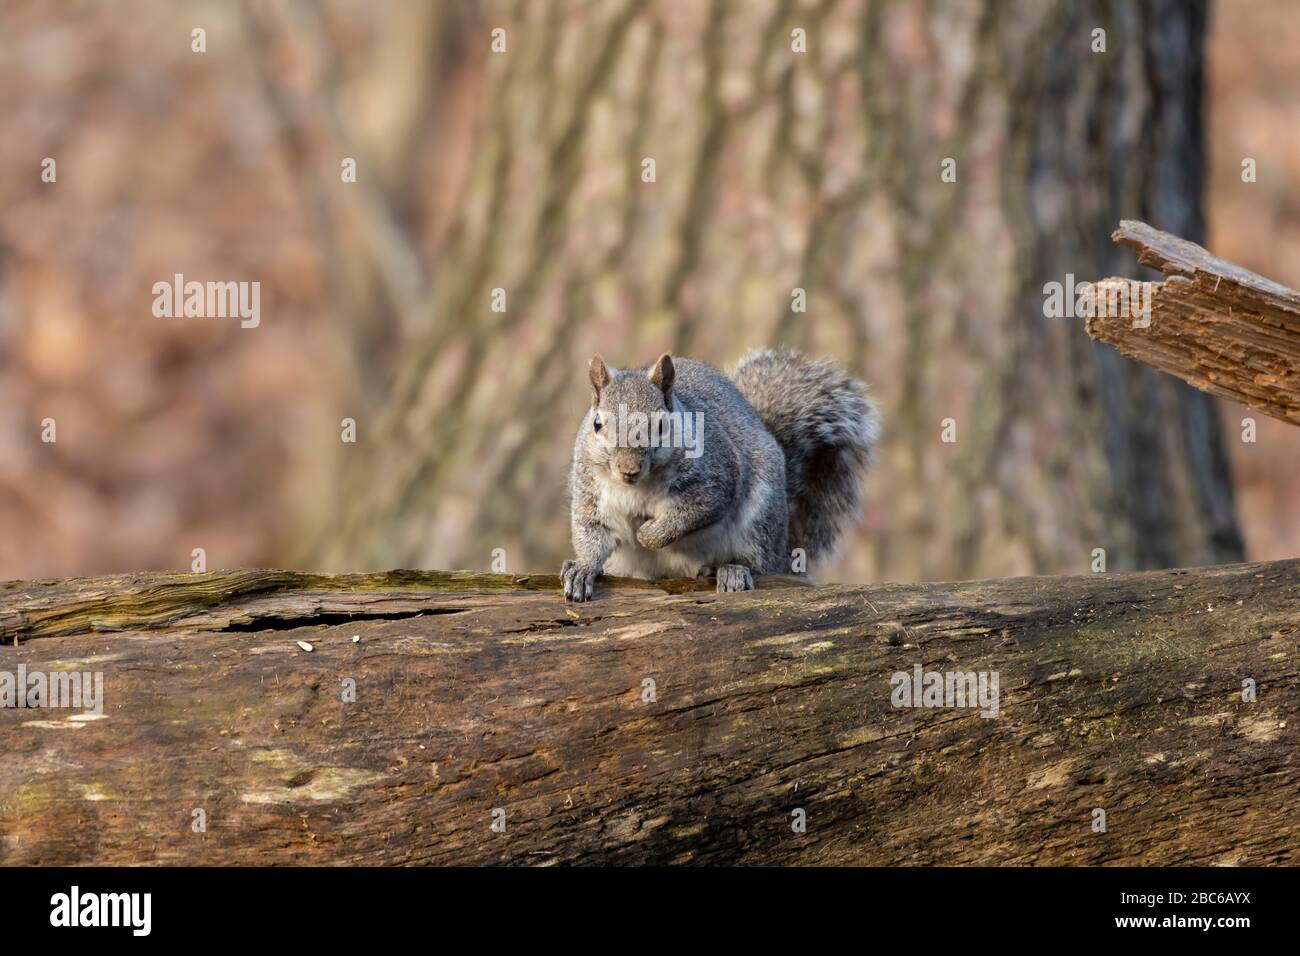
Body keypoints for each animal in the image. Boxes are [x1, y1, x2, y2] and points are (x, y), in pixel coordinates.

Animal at [562, 349, 880, 602]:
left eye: (662, 426)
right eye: (597, 424)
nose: (628, 470)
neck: (638, 486)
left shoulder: (717, 473)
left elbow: (696, 509)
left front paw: (650, 534)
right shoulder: (589, 490)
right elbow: (591, 531)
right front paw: (583, 569)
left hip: (760, 519)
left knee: (756, 560)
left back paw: (731, 571)